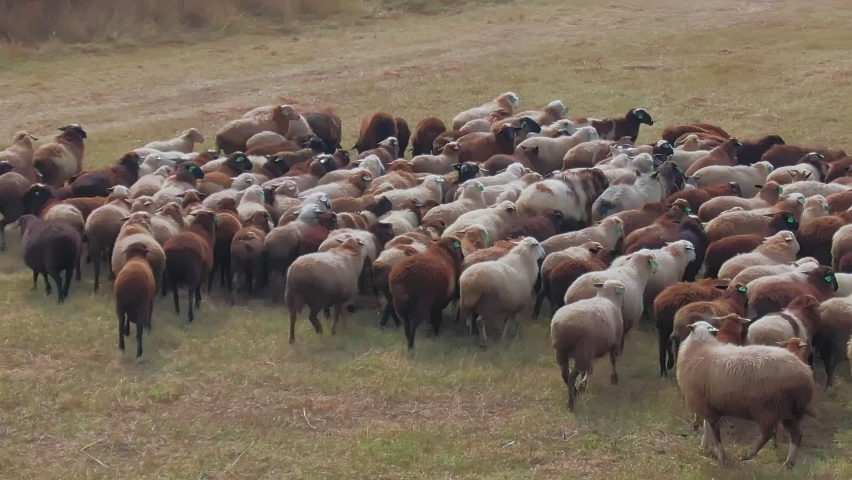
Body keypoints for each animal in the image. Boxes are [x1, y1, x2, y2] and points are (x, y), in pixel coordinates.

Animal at [551, 279, 626, 412]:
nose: (623, 303)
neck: (608, 298)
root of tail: (563, 325)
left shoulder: (593, 351)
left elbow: (590, 369)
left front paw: (583, 384)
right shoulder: (614, 343)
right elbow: (612, 361)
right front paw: (614, 379)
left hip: (561, 351)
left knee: (565, 375)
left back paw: (575, 393)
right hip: (582, 351)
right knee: (571, 377)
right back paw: (571, 404)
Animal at [676, 321, 815, 468]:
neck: (701, 347)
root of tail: (806, 374)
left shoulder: (704, 405)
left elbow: (715, 433)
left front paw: (721, 458)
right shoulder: (708, 403)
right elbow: (707, 426)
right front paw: (704, 446)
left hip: (770, 407)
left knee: (769, 433)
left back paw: (749, 455)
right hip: (790, 411)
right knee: (796, 435)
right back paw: (789, 463)